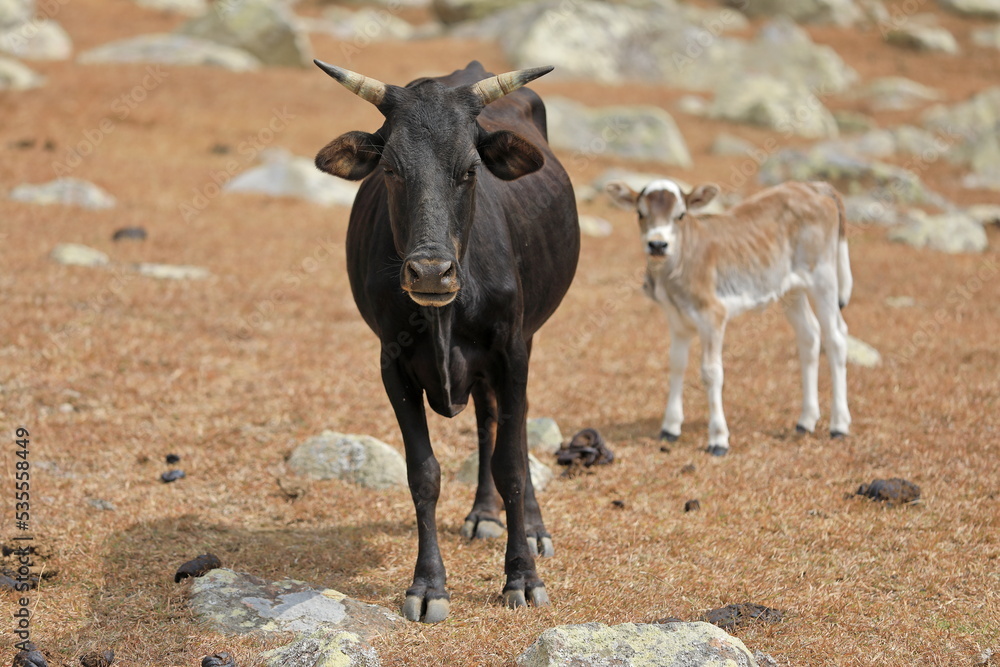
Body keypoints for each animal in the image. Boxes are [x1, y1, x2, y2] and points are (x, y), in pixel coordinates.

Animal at [313, 60, 580, 622]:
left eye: (471, 169)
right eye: (390, 169)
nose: (431, 271)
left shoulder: (511, 350)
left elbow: (512, 463)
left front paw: (522, 578)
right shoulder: (392, 365)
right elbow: (424, 473)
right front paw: (429, 585)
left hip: (525, 340)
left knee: (511, 429)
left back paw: (532, 527)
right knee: (486, 419)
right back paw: (483, 513)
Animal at [606, 178, 852, 456]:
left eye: (680, 215)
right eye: (640, 213)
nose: (657, 245)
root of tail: (811, 186)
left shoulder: (713, 315)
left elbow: (711, 373)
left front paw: (718, 439)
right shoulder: (676, 319)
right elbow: (676, 364)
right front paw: (670, 428)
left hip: (823, 276)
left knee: (835, 338)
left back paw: (839, 425)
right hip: (791, 289)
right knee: (809, 335)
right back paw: (806, 421)